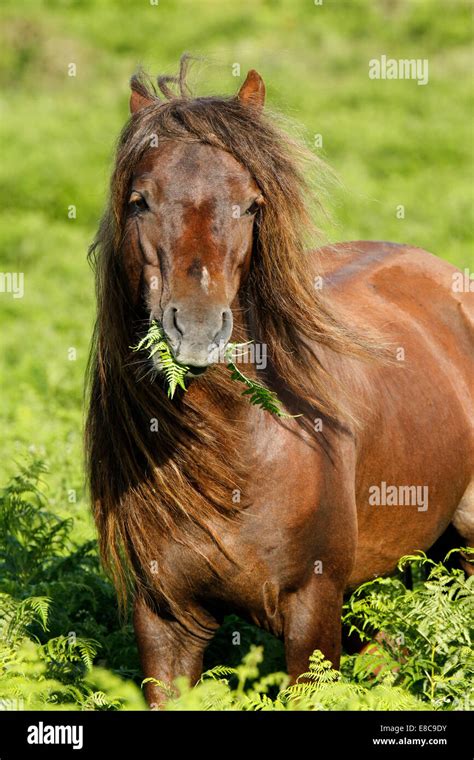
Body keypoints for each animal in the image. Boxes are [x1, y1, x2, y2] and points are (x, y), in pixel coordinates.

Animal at [86, 56, 474, 708]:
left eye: (250, 205)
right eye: (139, 202)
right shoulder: (164, 620)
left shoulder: (311, 611)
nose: (195, 328)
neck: (230, 457)